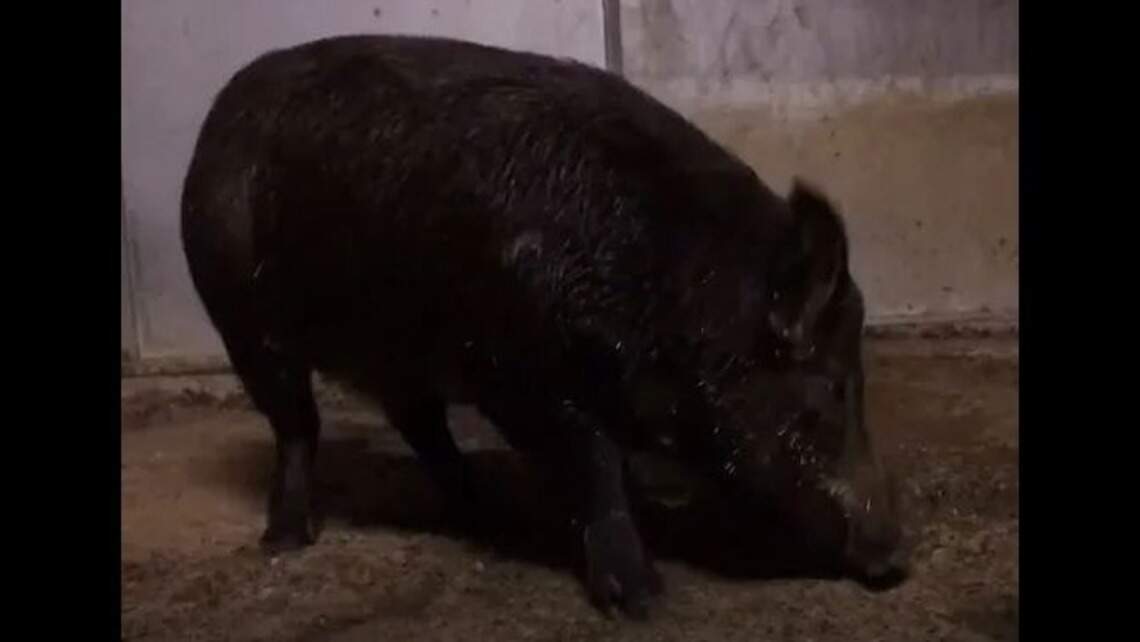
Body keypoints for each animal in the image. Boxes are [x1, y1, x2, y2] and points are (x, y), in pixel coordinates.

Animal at [181, 34, 907, 618]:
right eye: (833, 386)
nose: (894, 562)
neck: (665, 295)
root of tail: (216, 117)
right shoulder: (523, 375)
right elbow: (596, 464)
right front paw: (643, 601)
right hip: (240, 315)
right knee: (298, 425)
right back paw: (285, 541)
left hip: (399, 349)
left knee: (418, 424)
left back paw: (491, 514)